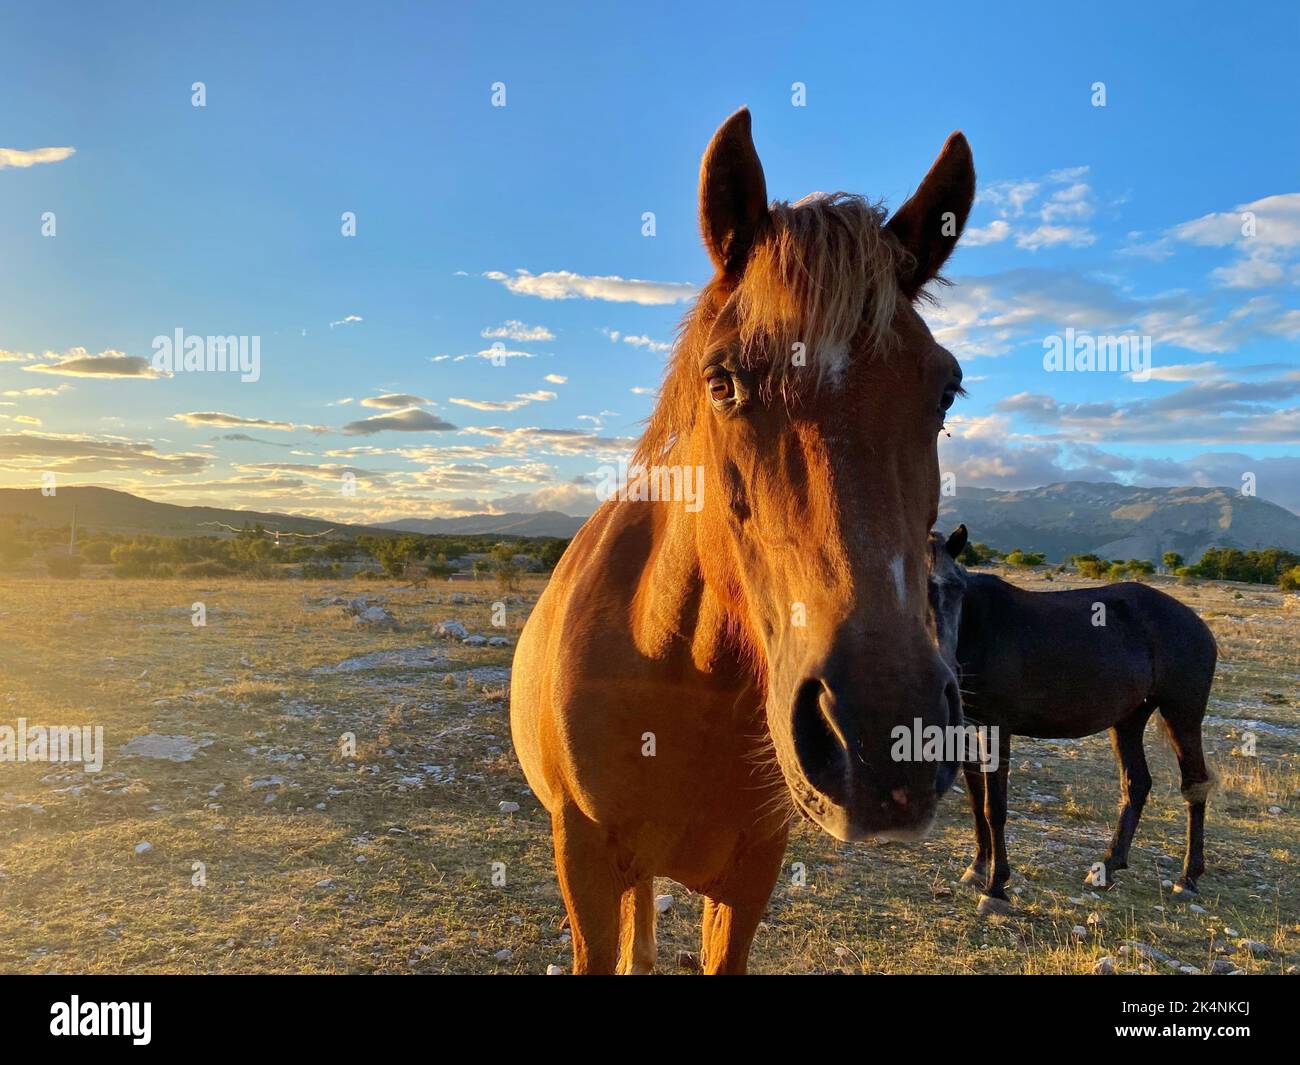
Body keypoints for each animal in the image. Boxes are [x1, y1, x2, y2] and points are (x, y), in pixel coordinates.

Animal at [510, 108, 977, 974]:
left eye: (945, 388)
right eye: (722, 381)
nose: (884, 734)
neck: (678, 667)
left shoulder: (750, 875)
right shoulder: (584, 861)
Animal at [927, 526, 1218, 915]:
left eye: (958, 588)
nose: (950, 671)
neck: (975, 629)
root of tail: (1197, 624)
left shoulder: (997, 728)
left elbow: (994, 807)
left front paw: (996, 888)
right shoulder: (968, 726)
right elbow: (977, 798)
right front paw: (977, 867)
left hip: (1182, 714)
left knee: (1194, 784)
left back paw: (1187, 879)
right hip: (1129, 719)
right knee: (1137, 783)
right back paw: (1109, 865)